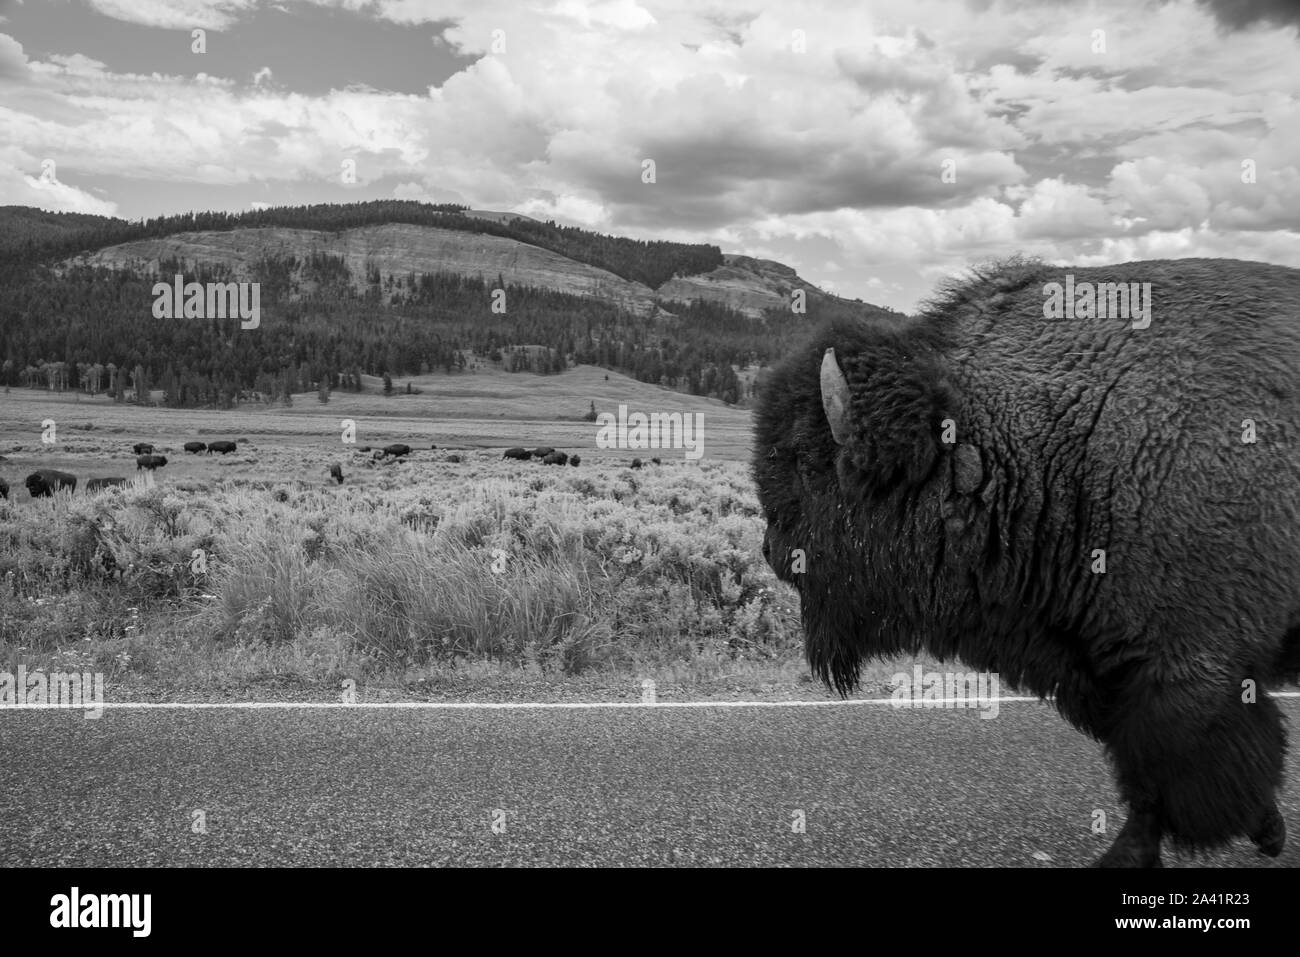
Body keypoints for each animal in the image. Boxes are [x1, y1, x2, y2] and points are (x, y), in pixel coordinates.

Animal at [753, 258, 1300, 868]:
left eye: (807, 462)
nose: (771, 548)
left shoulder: (1181, 671)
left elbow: (1162, 773)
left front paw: (1126, 855)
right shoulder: (1101, 668)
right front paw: (1267, 829)